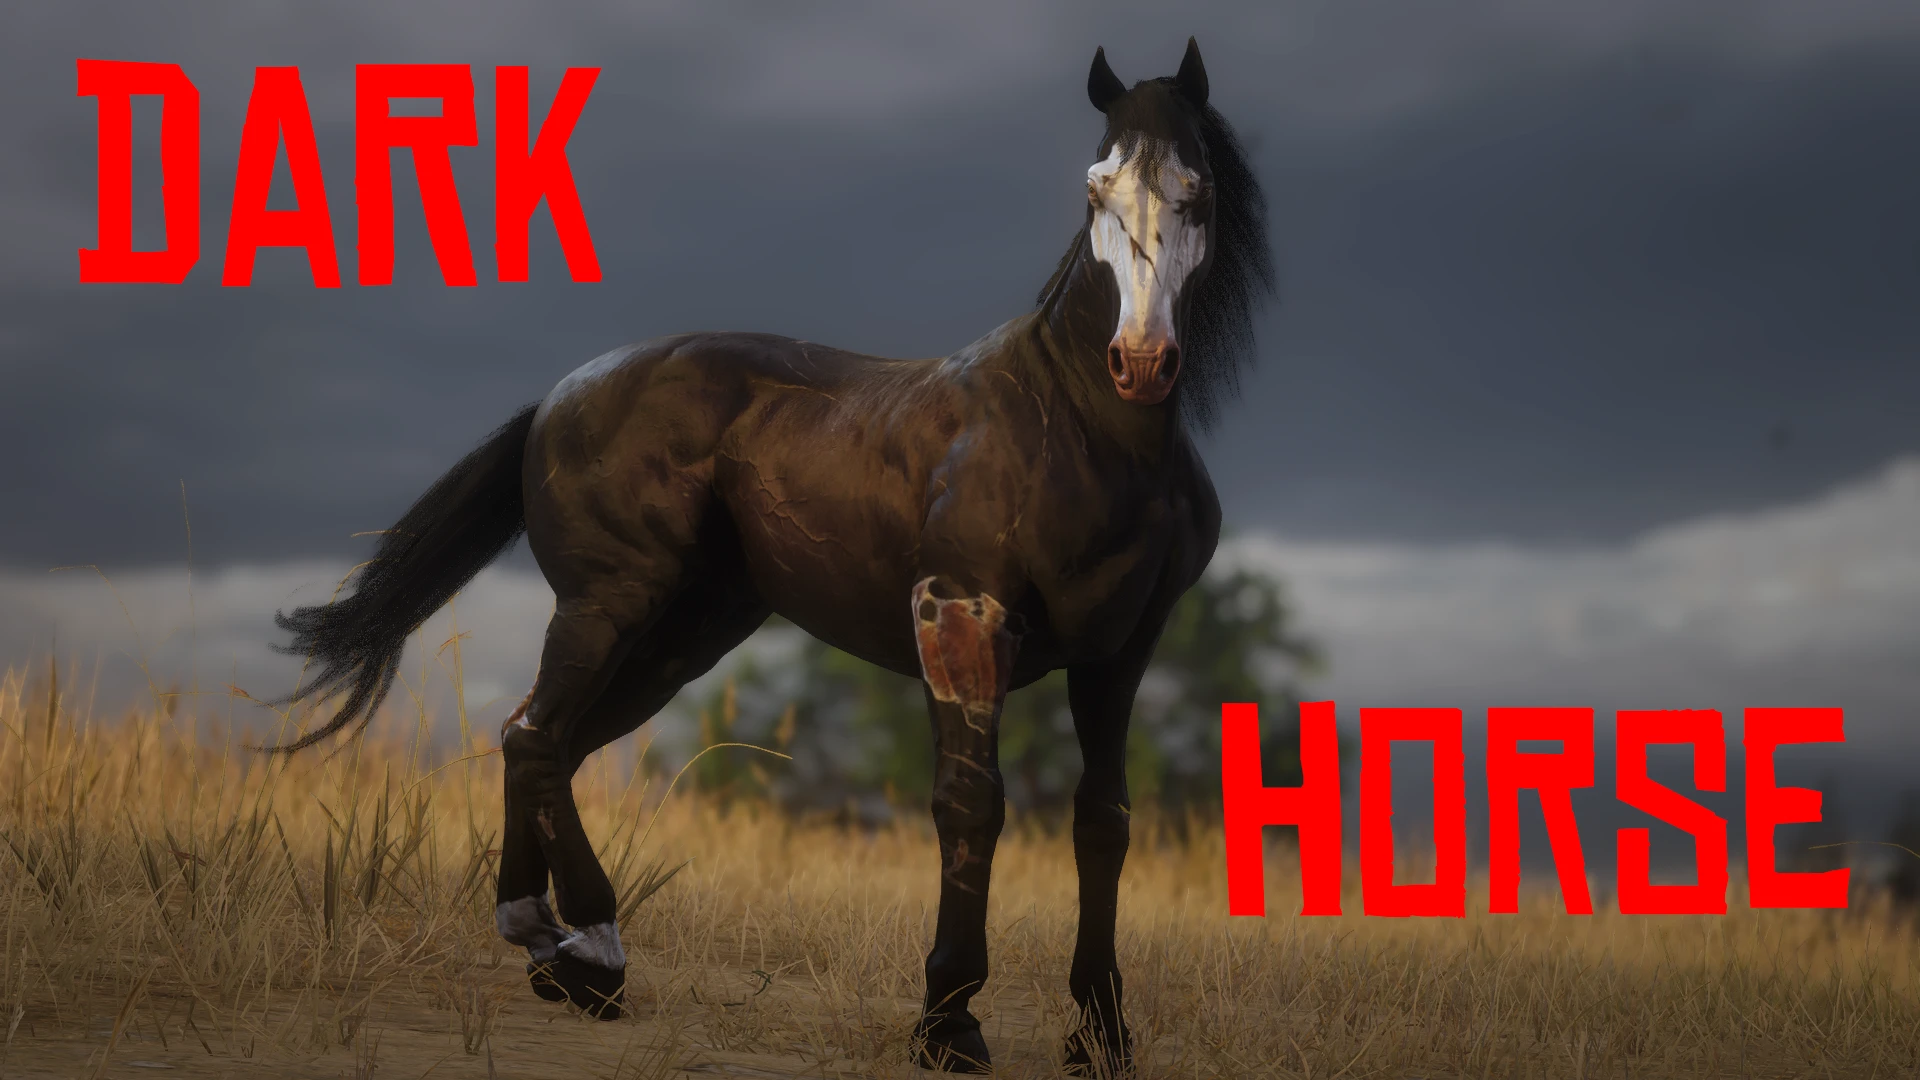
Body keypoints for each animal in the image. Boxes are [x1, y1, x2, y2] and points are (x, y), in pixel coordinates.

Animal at [268, 37, 1273, 1075]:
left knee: (543, 743)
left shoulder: (1121, 649)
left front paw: (1103, 1032)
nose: (1141, 362)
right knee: (535, 738)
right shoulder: (962, 616)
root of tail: (560, 396)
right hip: (607, 605)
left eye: (1197, 188)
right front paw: (948, 1022)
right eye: (1095, 187)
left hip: (684, 635)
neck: (1075, 426)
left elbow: (1103, 820)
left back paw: (557, 958)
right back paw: (591, 946)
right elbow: (970, 804)